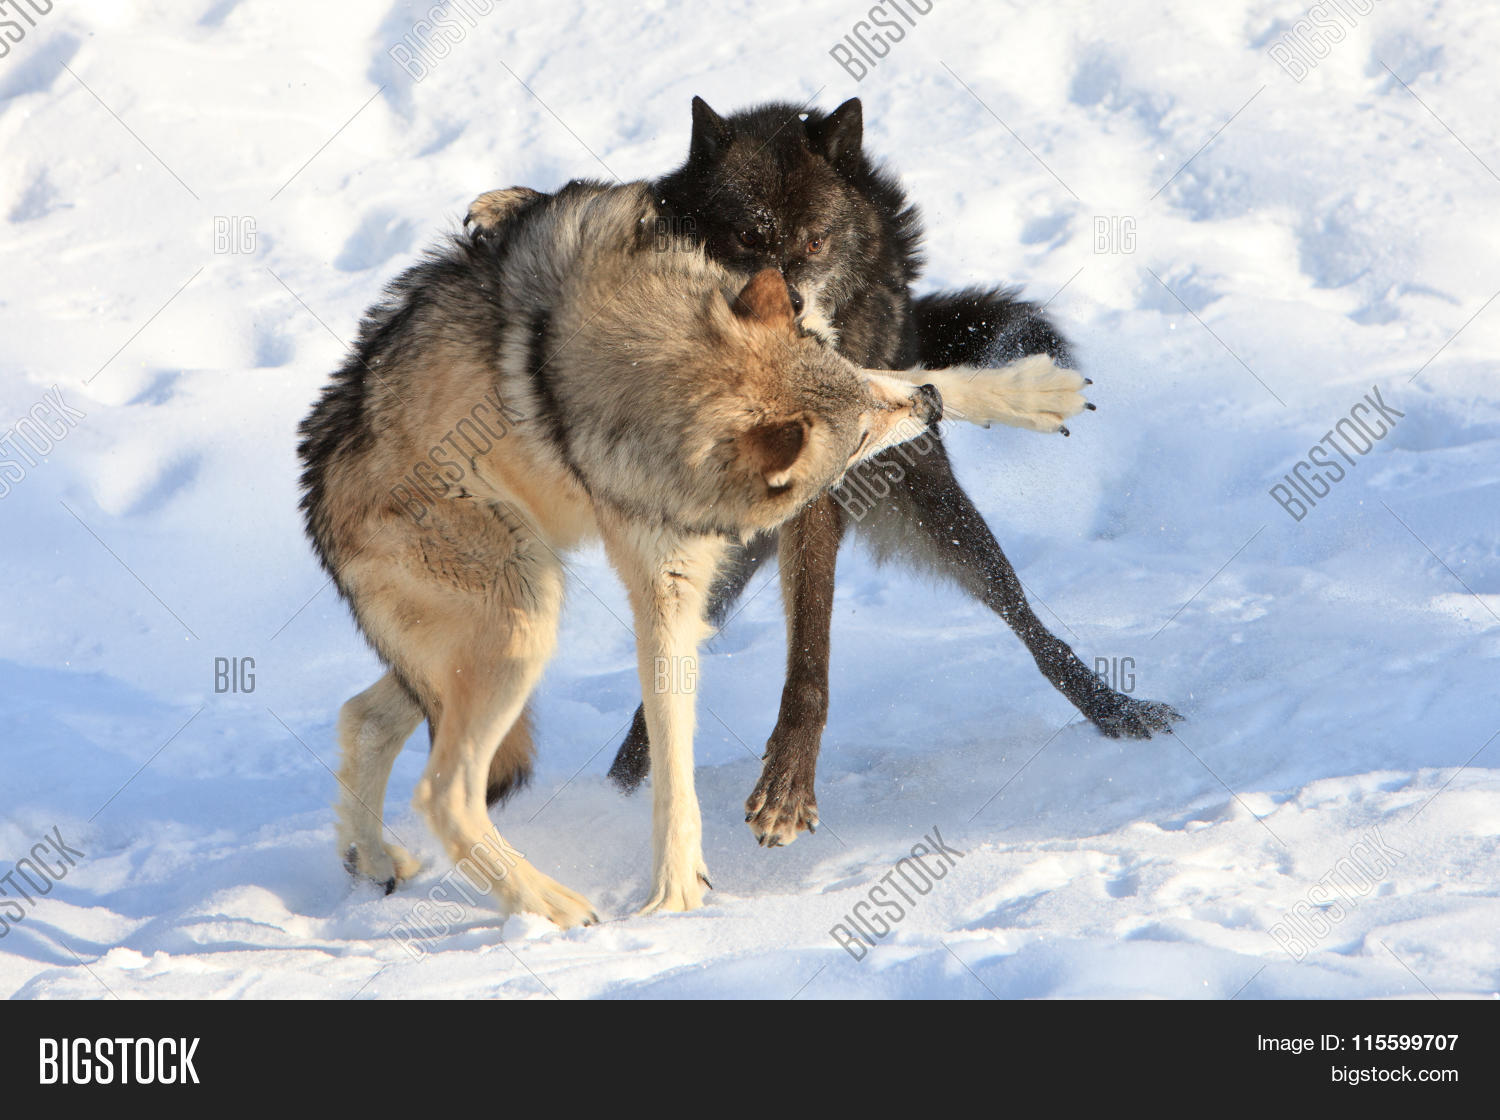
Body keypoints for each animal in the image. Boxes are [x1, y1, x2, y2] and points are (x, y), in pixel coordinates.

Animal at [299, 179, 1089, 924]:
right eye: (857, 437)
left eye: (849, 383)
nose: (924, 407)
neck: (631, 348)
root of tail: (317, 503)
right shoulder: (668, 593)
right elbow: (673, 764)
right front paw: (676, 897)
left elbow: (932, 370)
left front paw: (1030, 391)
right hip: (523, 623)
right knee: (443, 794)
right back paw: (552, 906)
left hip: (487, 634)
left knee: (362, 717)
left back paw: (372, 859)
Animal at [470, 97, 1180, 849]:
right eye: (747, 237)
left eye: (813, 244)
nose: (790, 310)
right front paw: (506, 206)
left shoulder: (819, 503)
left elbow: (810, 659)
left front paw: (786, 788)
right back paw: (617, 801)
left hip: (944, 520)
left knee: (1026, 617)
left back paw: (1115, 707)